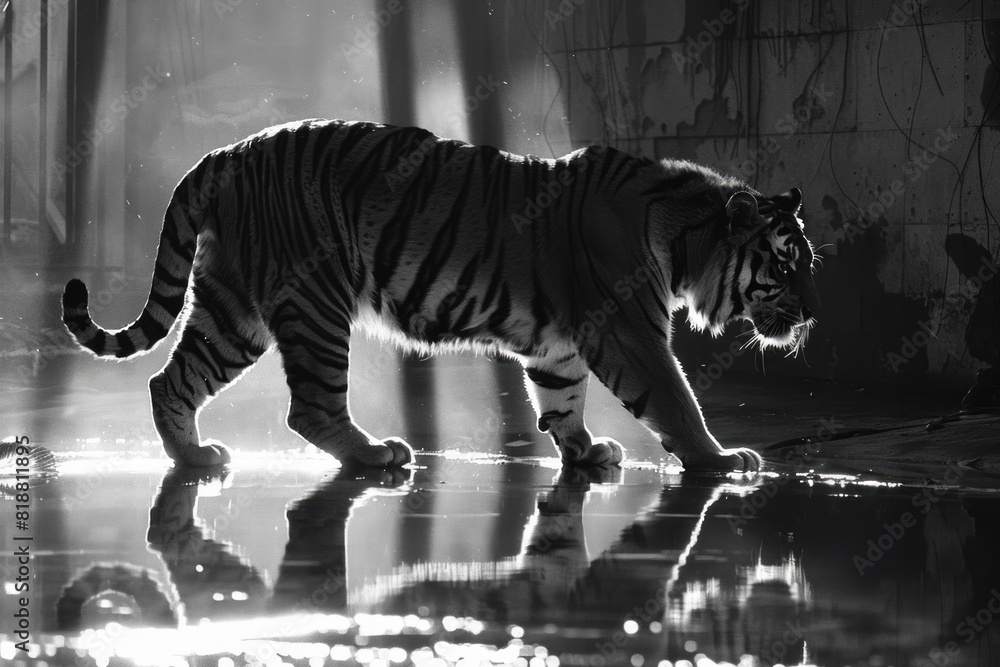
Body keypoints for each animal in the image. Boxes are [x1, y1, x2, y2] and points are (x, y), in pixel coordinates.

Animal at [61, 119, 819, 472]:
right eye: (785, 265)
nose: (812, 315)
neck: (686, 232)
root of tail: (225, 153)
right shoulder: (628, 330)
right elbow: (675, 399)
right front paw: (721, 459)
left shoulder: (561, 343)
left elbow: (561, 397)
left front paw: (583, 450)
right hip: (315, 303)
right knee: (310, 407)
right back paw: (375, 454)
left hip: (233, 307)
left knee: (170, 378)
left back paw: (193, 457)